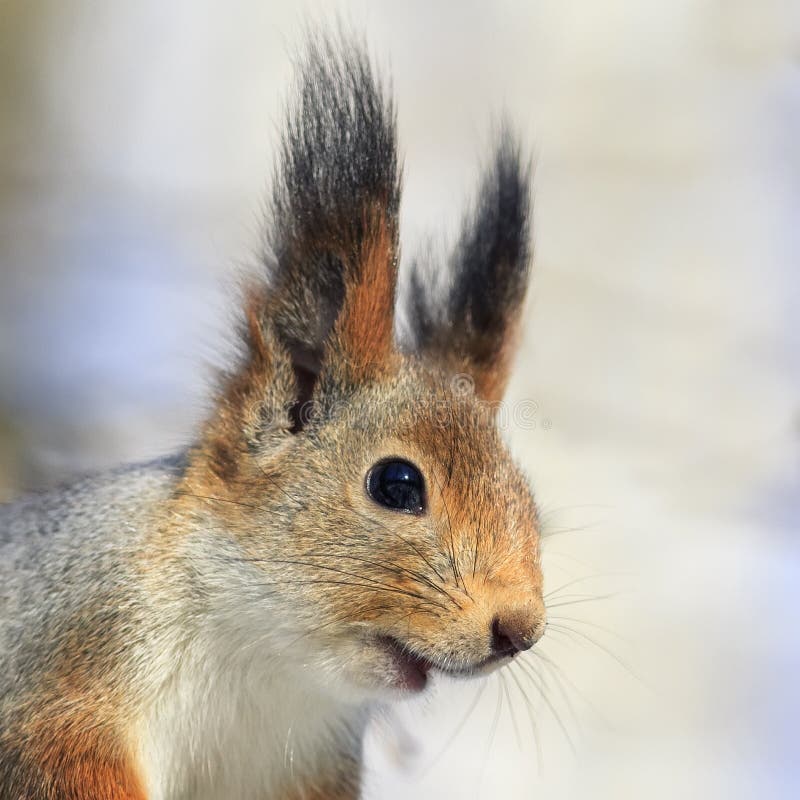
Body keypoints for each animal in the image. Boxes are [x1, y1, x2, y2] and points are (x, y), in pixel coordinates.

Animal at [0, 32, 545, 800]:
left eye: (531, 502)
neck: (265, 658)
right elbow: (58, 754)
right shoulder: (64, 658)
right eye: (397, 484)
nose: (520, 628)